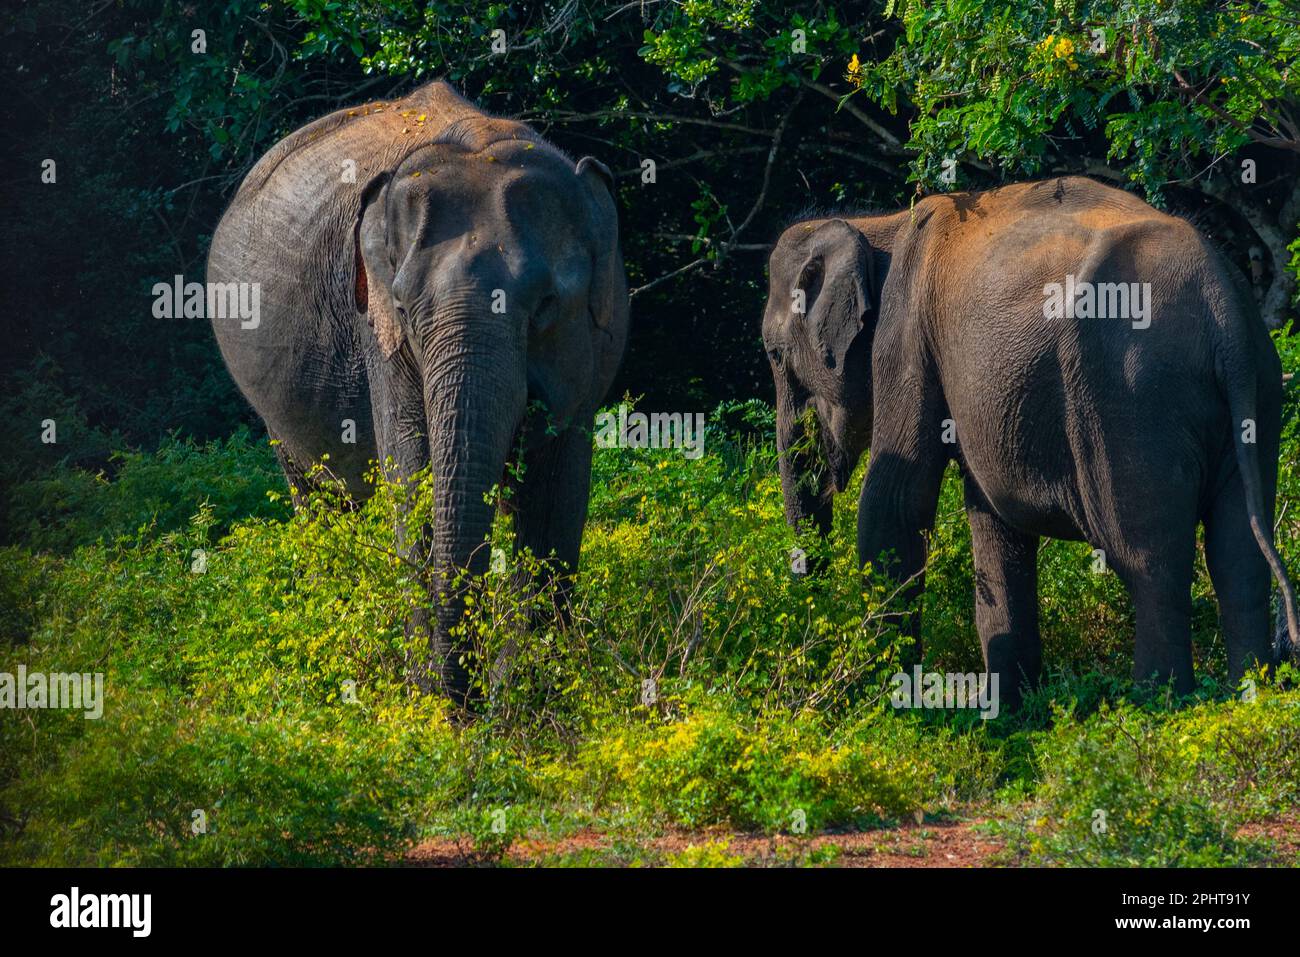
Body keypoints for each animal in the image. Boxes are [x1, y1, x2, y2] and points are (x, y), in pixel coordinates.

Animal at [207, 81, 629, 704]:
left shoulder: (595, 345)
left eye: (546, 305)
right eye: (406, 309)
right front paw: (428, 699)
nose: (466, 703)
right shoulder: (378, 332)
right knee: (317, 501)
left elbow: (555, 499)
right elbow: (413, 473)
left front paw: (527, 696)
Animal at [762, 175, 1299, 707]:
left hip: (1133, 395)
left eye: (773, 354)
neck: (880, 225)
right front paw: (1006, 715)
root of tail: (1224, 308)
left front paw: (885, 702)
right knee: (1238, 557)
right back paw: (1249, 697)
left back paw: (1155, 707)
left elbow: (897, 498)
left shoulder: (907, 334)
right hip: (1257, 396)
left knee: (1149, 558)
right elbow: (991, 520)